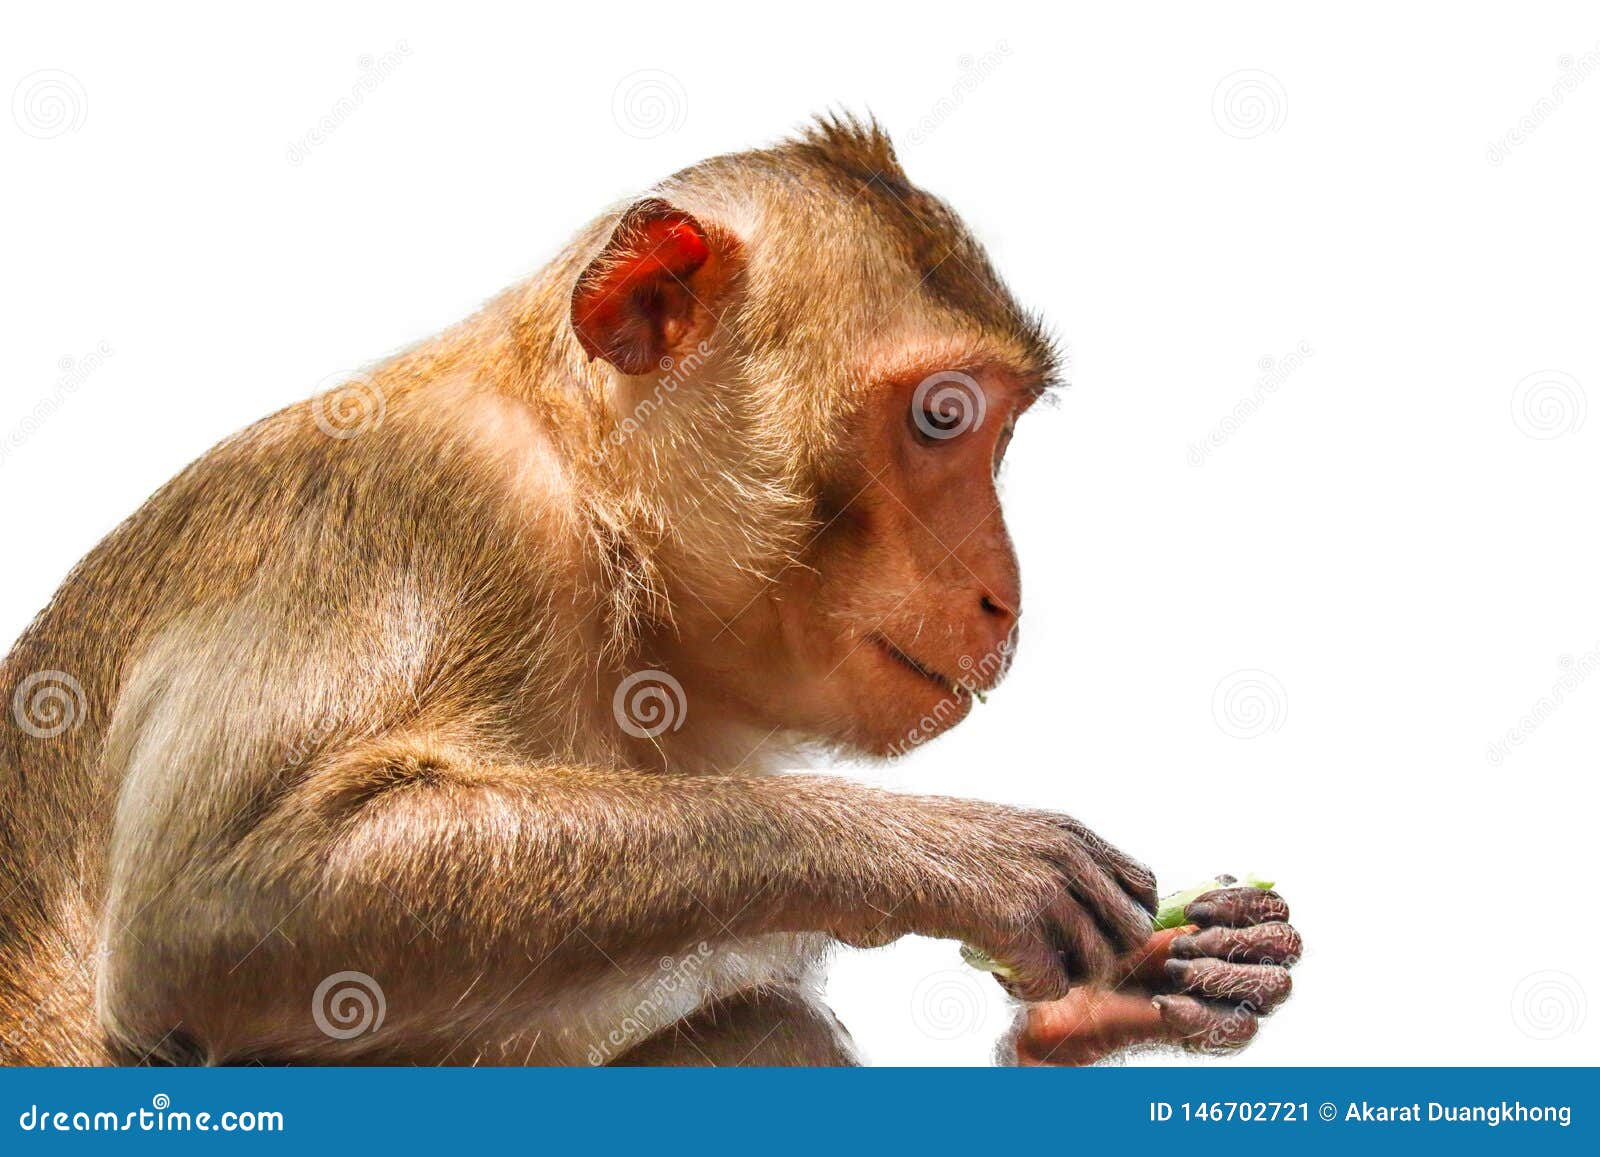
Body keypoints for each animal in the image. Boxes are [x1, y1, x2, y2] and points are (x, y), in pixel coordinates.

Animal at [0, 115, 1299, 1066]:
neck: (592, 497)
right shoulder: (423, 508)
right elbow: (206, 918)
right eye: (941, 416)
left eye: (997, 426)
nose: (1002, 591)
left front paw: (1127, 994)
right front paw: (934, 850)